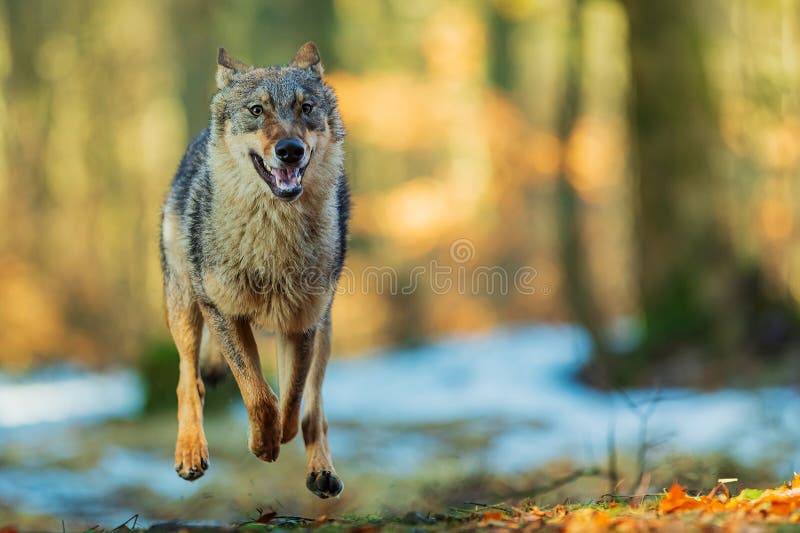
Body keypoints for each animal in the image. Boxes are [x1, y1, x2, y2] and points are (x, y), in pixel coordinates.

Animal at [159, 42, 349, 499]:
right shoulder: (224, 313)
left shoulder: (301, 324)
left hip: (325, 327)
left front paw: (280, 436)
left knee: (315, 406)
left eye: (306, 107)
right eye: (257, 110)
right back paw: (190, 453)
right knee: (188, 380)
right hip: (185, 307)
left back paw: (322, 473)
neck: (272, 237)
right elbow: (258, 395)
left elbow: (292, 398)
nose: (290, 150)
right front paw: (263, 444)